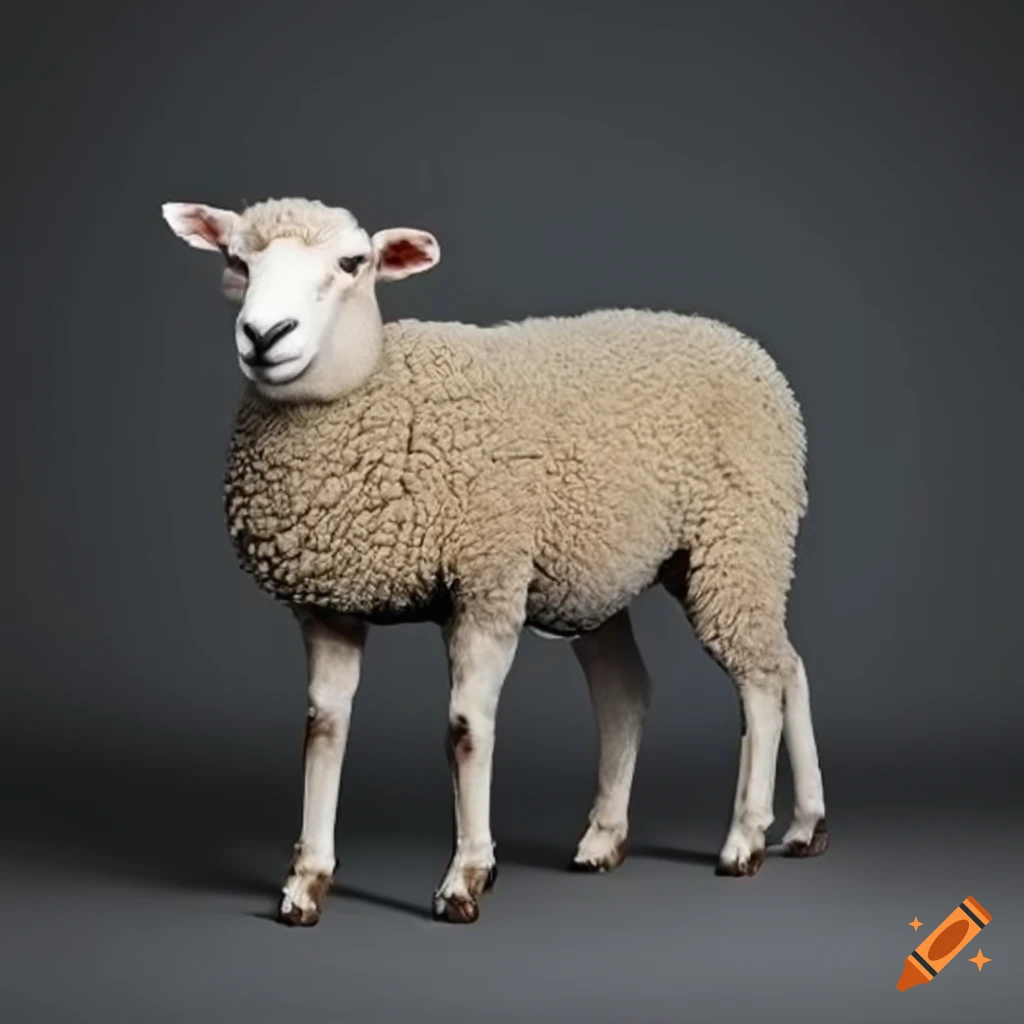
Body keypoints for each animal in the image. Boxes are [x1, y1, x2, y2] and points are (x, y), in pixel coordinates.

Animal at [161, 196, 828, 926]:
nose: (264, 335)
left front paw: (467, 877)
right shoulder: (327, 605)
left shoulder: (487, 581)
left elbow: (465, 731)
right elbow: (323, 729)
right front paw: (306, 881)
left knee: (760, 681)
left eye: (353, 263)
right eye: (236, 260)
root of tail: (742, 346)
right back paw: (727, 830)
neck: (375, 392)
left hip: (737, 539)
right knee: (693, 681)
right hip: (603, 570)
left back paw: (746, 838)